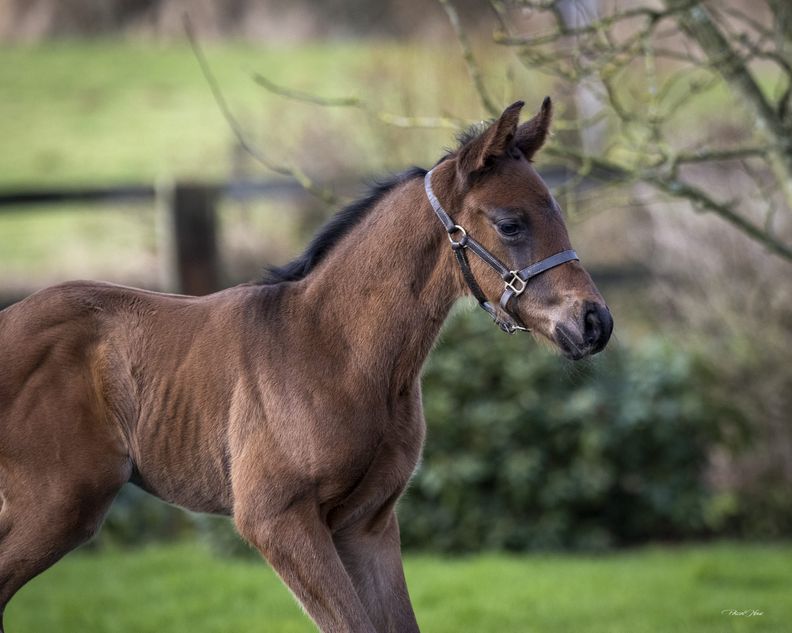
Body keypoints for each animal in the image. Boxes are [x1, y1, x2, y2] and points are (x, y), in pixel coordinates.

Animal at [0, 99, 612, 632]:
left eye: (559, 213)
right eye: (510, 223)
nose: (594, 322)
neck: (336, 352)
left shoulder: (366, 524)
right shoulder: (277, 519)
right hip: (57, 505)